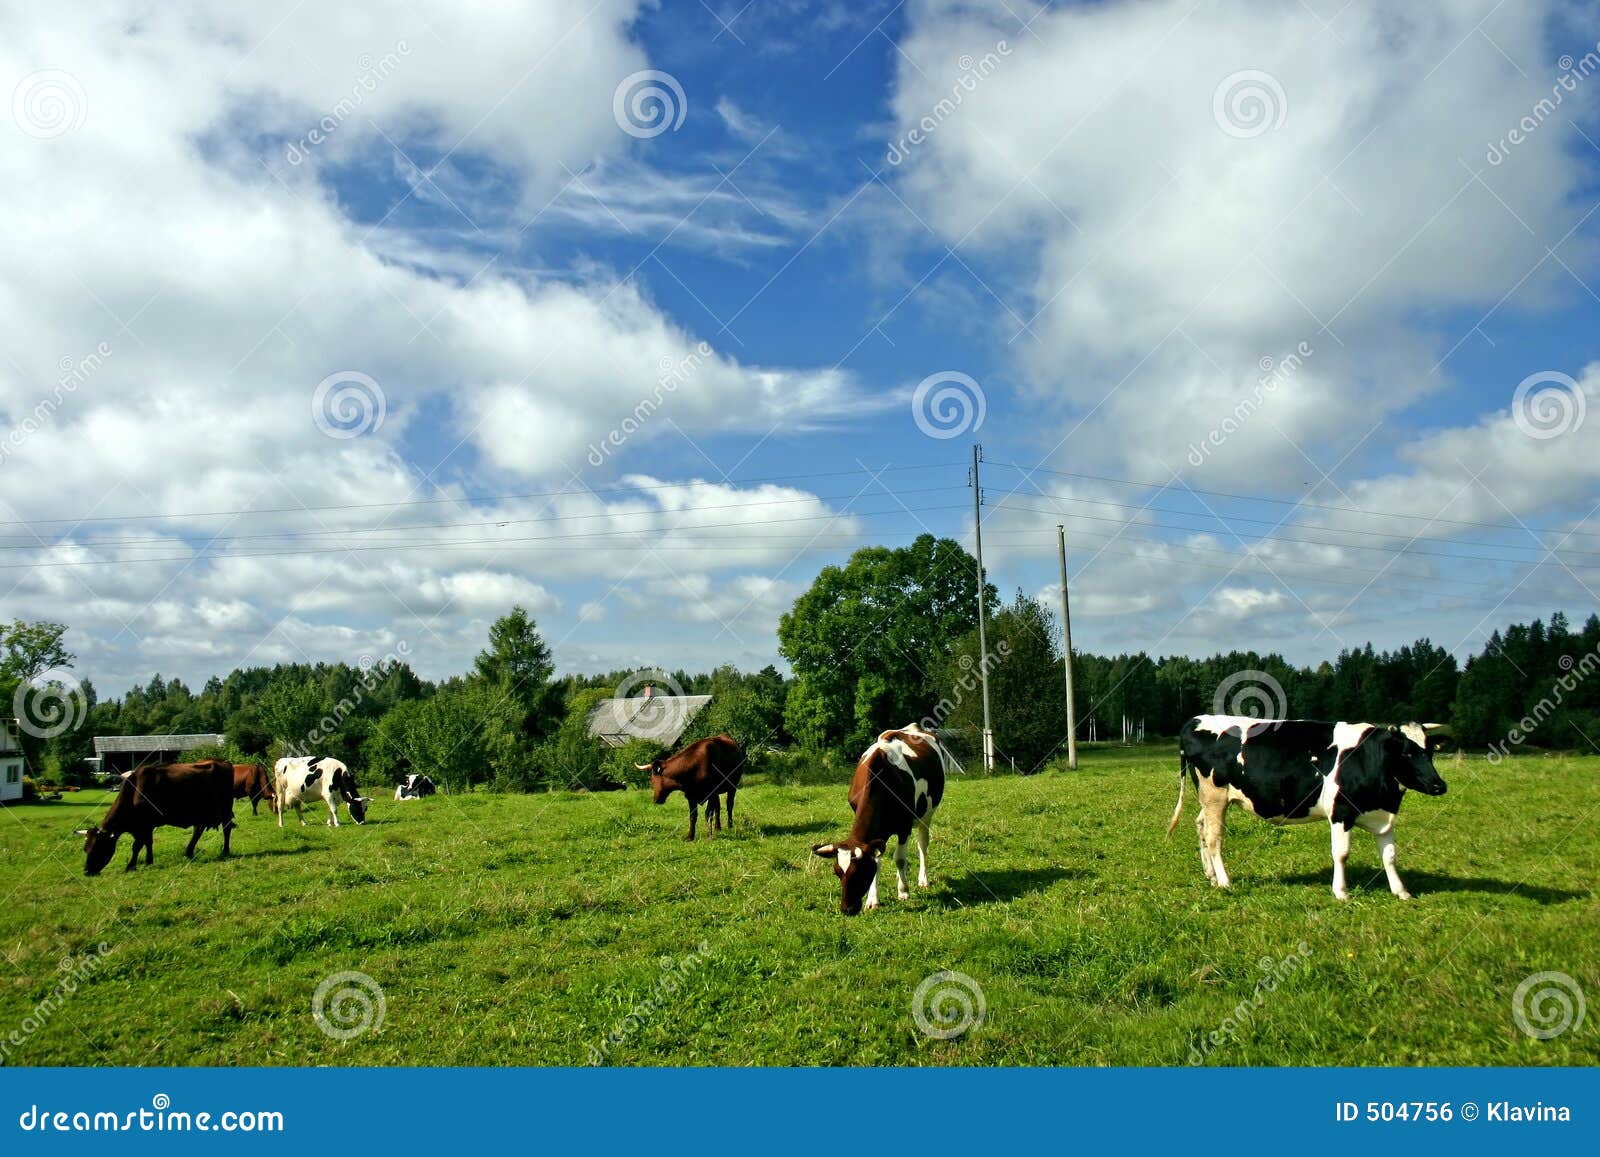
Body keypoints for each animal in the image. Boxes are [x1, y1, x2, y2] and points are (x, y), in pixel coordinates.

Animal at [80, 761, 236, 875]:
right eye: (85, 848)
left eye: (98, 848)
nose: (87, 871)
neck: (134, 791)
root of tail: (224, 762)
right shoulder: (142, 826)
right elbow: (148, 843)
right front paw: (149, 860)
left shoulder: (145, 825)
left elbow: (137, 846)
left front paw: (131, 866)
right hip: (201, 814)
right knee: (198, 830)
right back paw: (188, 852)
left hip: (225, 810)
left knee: (226, 829)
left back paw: (225, 851)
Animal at [812, 724, 959, 915]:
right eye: (837, 873)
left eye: (861, 872)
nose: (847, 909)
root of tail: (914, 726)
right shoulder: (877, 834)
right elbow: (878, 860)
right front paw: (873, 900)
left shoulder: (904, 827)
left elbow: (900, 858)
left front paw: (903, 891)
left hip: (926, 816)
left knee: (922, 845)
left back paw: (922, 879)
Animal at [1168, 716, 1449, 900]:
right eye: (1407, 753)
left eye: (1430, 752)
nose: (1439, 785)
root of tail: (1195, 720)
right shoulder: (1341, 813)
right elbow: (1341, 853)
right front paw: (1341, 892)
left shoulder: (1383, 816)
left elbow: (1389, 855)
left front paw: (1401, 891)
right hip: (1214, 795)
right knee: (1213, 838)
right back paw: (1225, 882)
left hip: (1211, 799)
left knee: (1200, 827)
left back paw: (1211, 876)